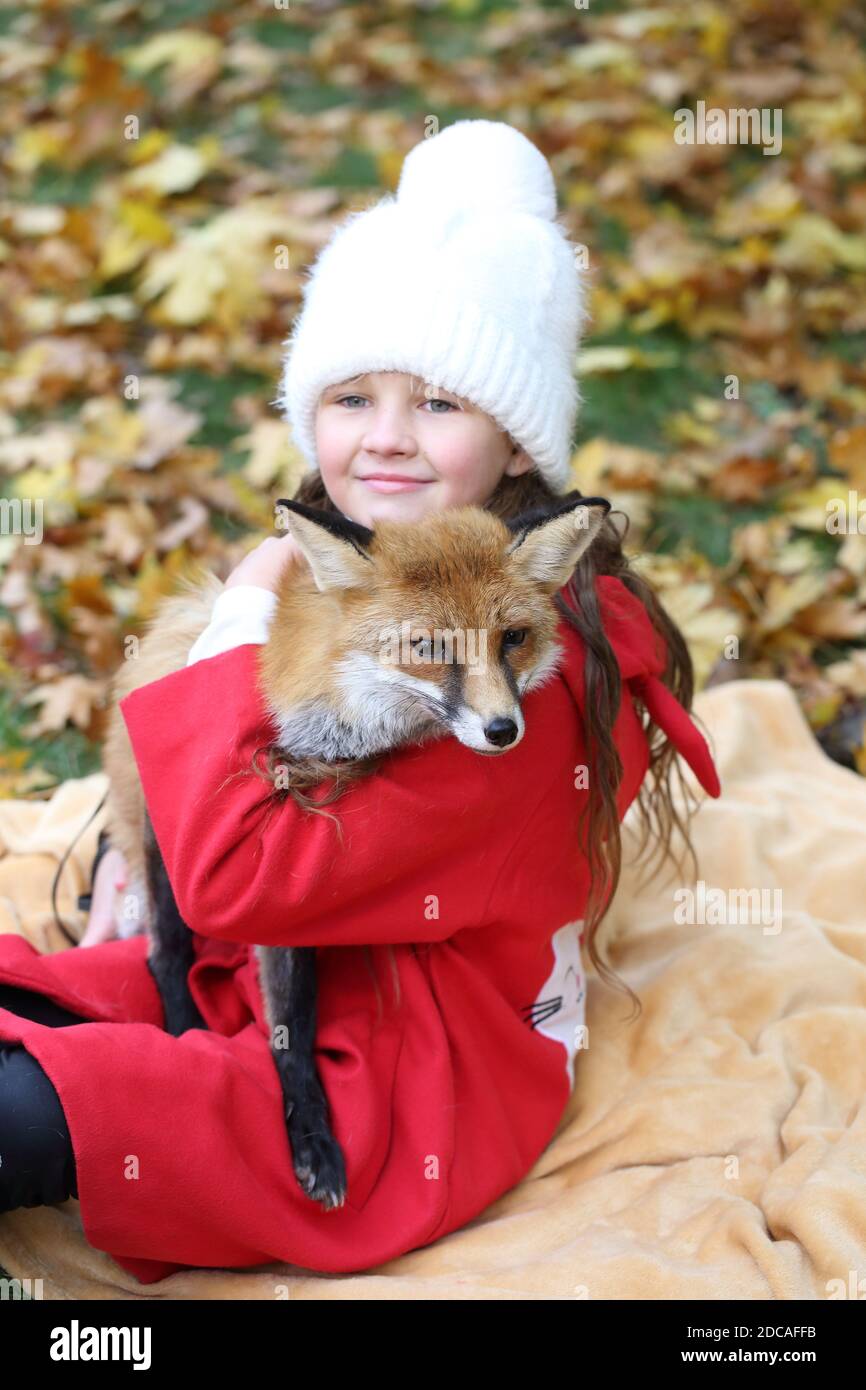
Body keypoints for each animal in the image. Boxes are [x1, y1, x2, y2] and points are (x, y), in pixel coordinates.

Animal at [101, 491, 611, 1212]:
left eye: (512, 638)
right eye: (428, 646)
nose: (503, 731)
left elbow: (294, 1008)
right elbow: (286, 1021)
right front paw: (312, 1141)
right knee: (162, 949)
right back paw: (180, 1026)